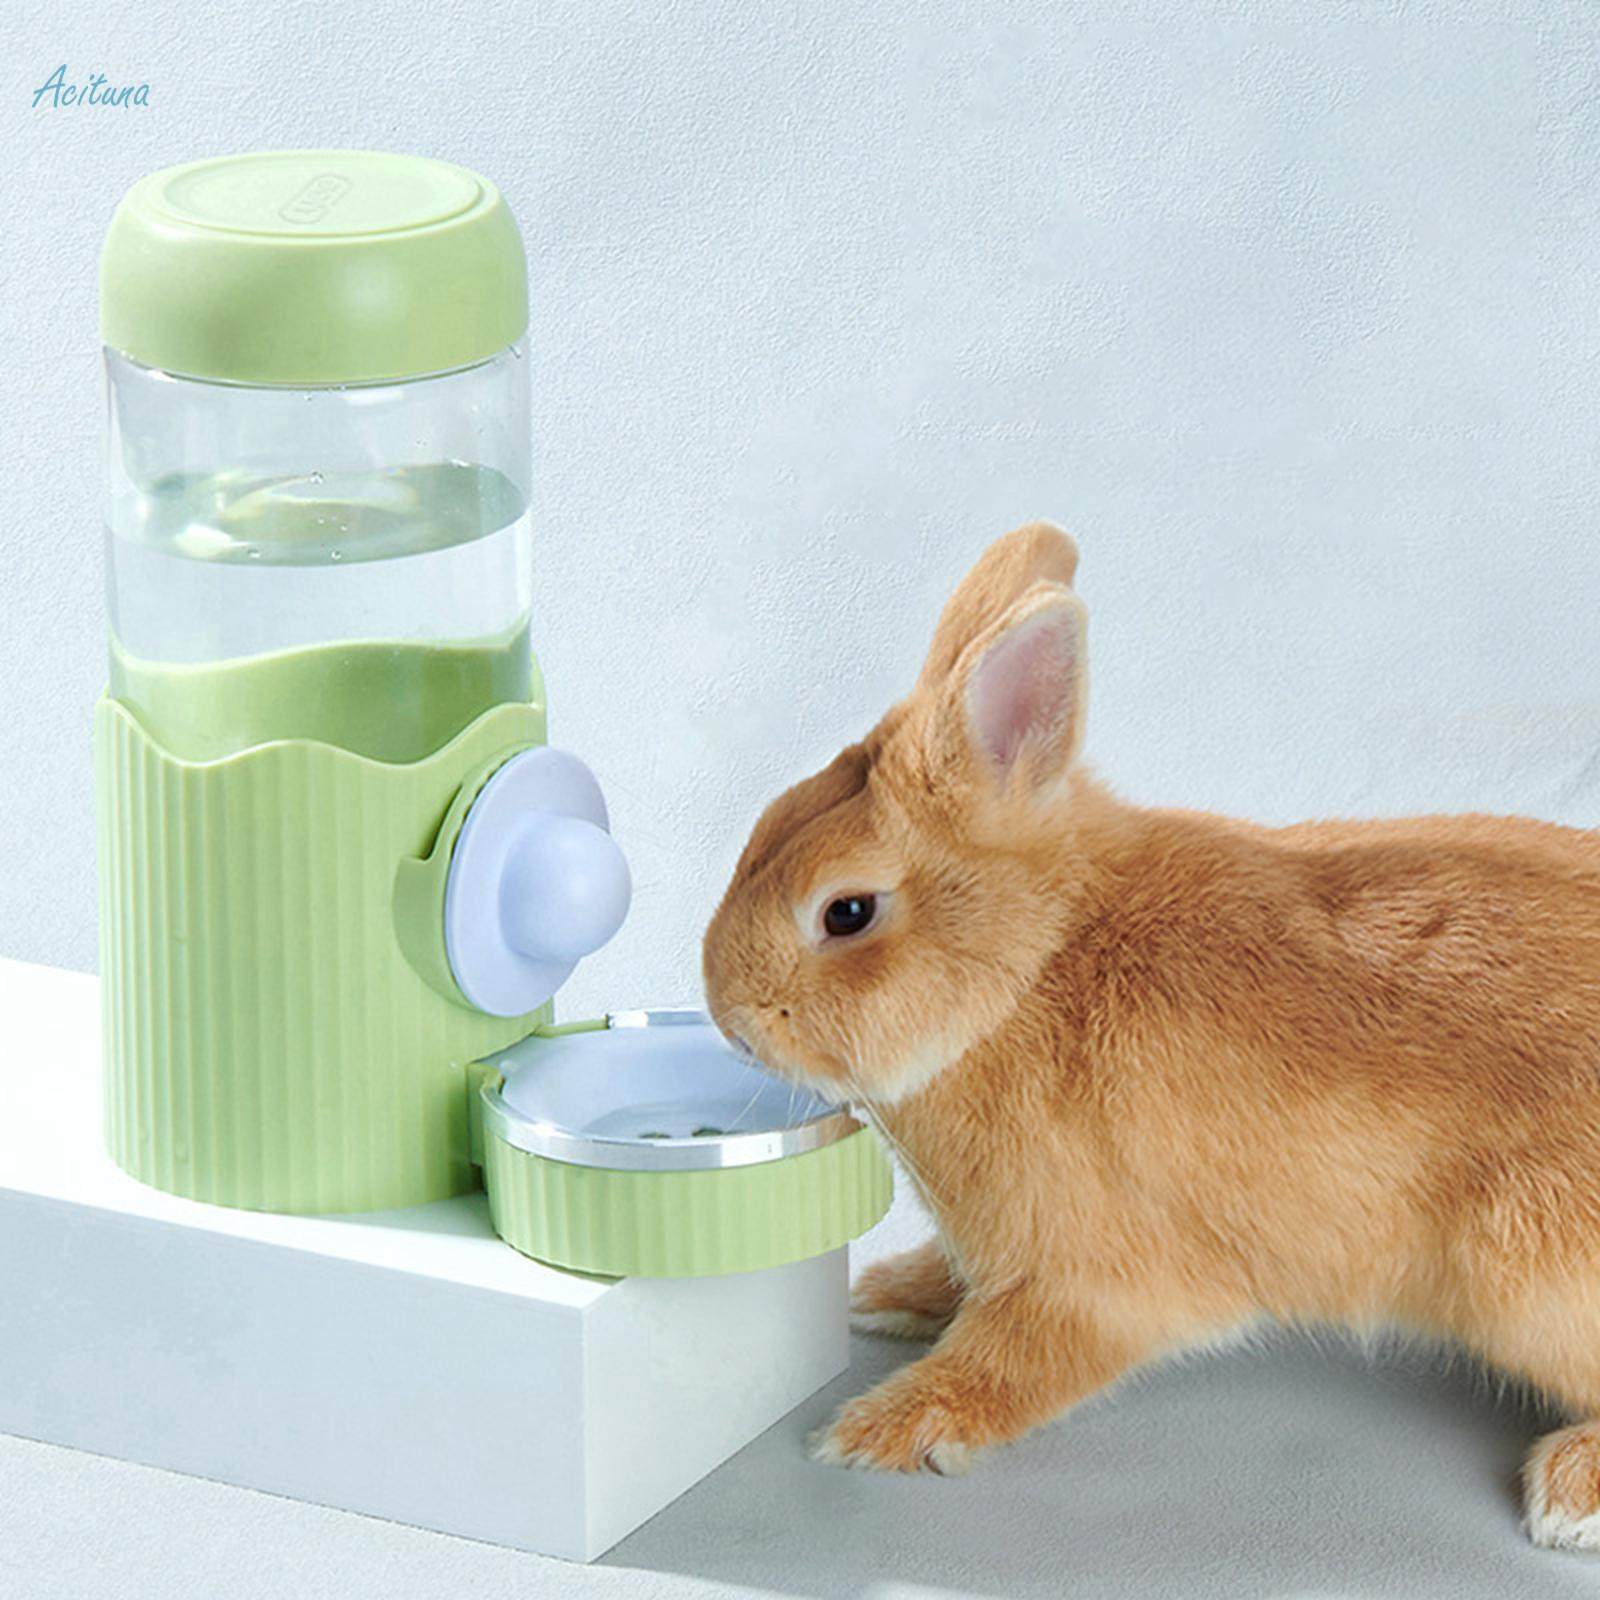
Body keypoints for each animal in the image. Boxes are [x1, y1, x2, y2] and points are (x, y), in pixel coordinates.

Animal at [702, 521, 1600, 1551]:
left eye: (846, 912)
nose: (728, 1011)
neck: (1030, 967)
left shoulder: (1087, 1282)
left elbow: (1012, 1358)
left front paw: (875, 1431)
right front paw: (890, 1295)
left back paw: (1573, 1494)